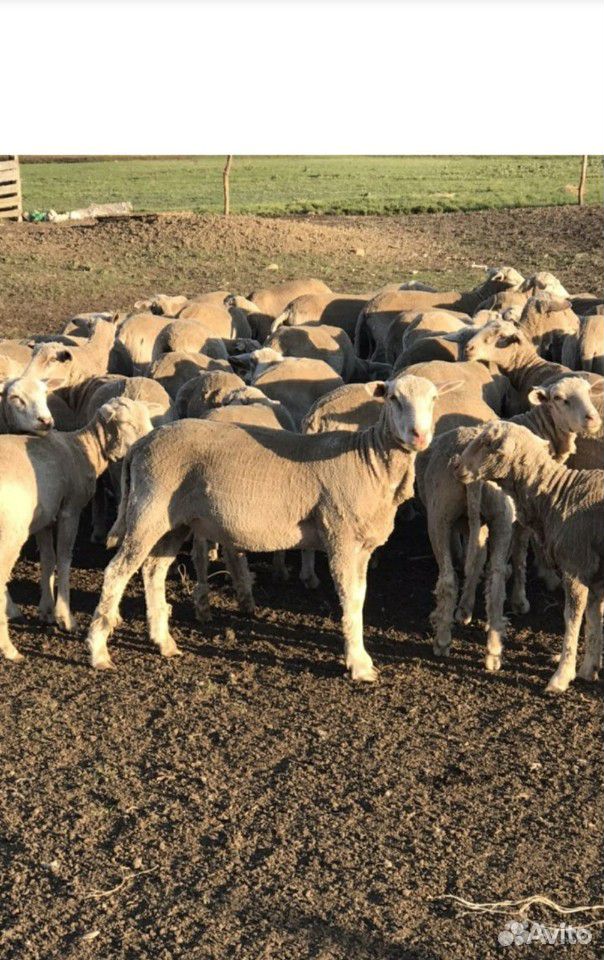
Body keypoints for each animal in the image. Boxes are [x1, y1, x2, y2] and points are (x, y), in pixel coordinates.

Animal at [0, 397, 153, 662]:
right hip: (10, 532)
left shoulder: (46, 516)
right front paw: (65, 617)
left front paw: (46, 609)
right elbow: (64, 558)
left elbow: (48, 559)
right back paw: (9, 648)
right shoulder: (70, 510)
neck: (82, 448)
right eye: (126, 423)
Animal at [86, 374, 440, 679]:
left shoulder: (363, 546)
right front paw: (358, 664)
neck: (369, 460)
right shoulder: (340, 537)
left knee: (152, 571)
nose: (419, 435)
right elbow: (350, 599)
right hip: (148, 510)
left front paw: (361, 658)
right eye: (393, 398)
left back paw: (164, 642)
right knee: (117, 572)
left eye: (434, 399)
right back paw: (98, 651)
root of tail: (141, 444)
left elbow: (361, 597)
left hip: (175, 522)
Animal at [455, 421, 604, 693]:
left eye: (488, 443)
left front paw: (561, 676)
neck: (559, 493)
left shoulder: (576, 566)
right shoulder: (595, 573)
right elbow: (593, 619)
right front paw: (589, 669)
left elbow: (572, 618)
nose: (456, 466)